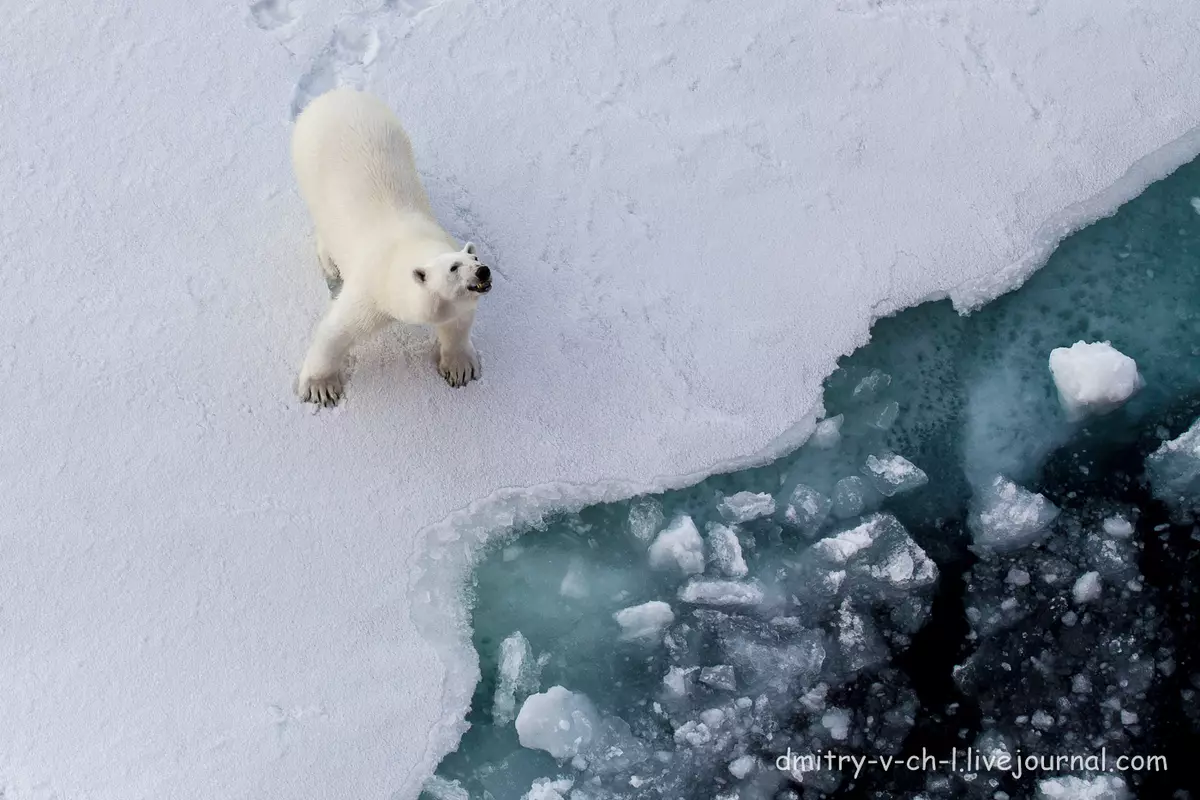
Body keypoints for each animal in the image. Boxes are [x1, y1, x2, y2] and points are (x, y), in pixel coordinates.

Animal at [288, 86, 489, 407]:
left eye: (476, 257)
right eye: (453, 268)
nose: (483, 272)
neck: (407, 245)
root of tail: (334, 94)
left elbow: (457, 322)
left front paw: (460, 368)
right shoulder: (371, 291)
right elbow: (336, 330)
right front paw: (321, 387)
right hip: (308, 167)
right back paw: (331, 265)